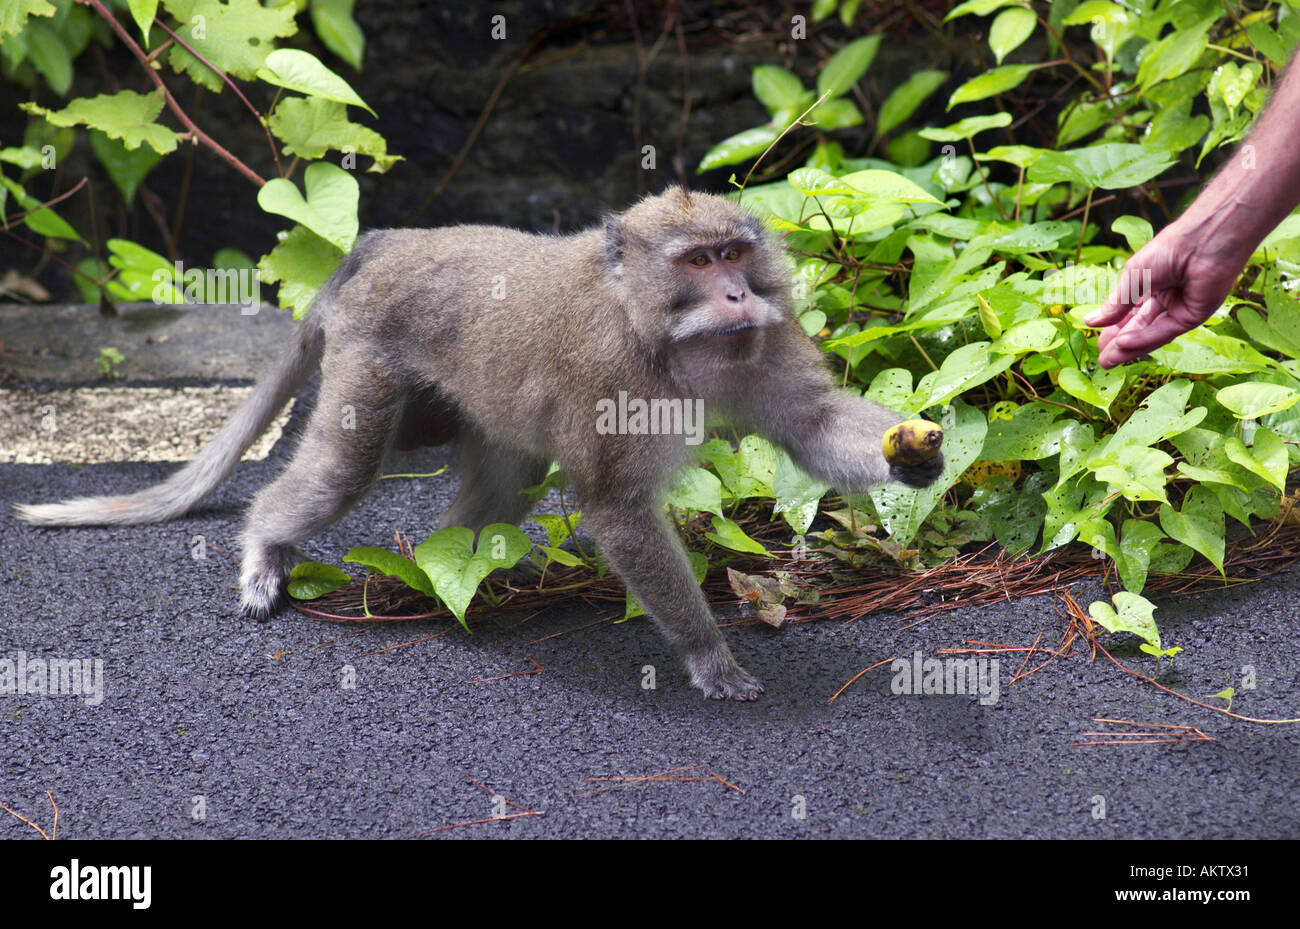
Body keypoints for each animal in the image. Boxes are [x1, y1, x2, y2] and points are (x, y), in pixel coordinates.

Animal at [16, 187, 944, 700]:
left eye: (736, 252)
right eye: (697, 261)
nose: (736, 294)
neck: (655, 331)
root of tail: (388, 240)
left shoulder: (769, 335)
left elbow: (810, 422)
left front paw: (917, 457)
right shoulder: (608, 377)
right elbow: (618, 509)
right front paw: (708, 656)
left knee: (506, 480)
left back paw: (440, 569)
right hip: (369, 359)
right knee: (341, 471)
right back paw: (265, 549)